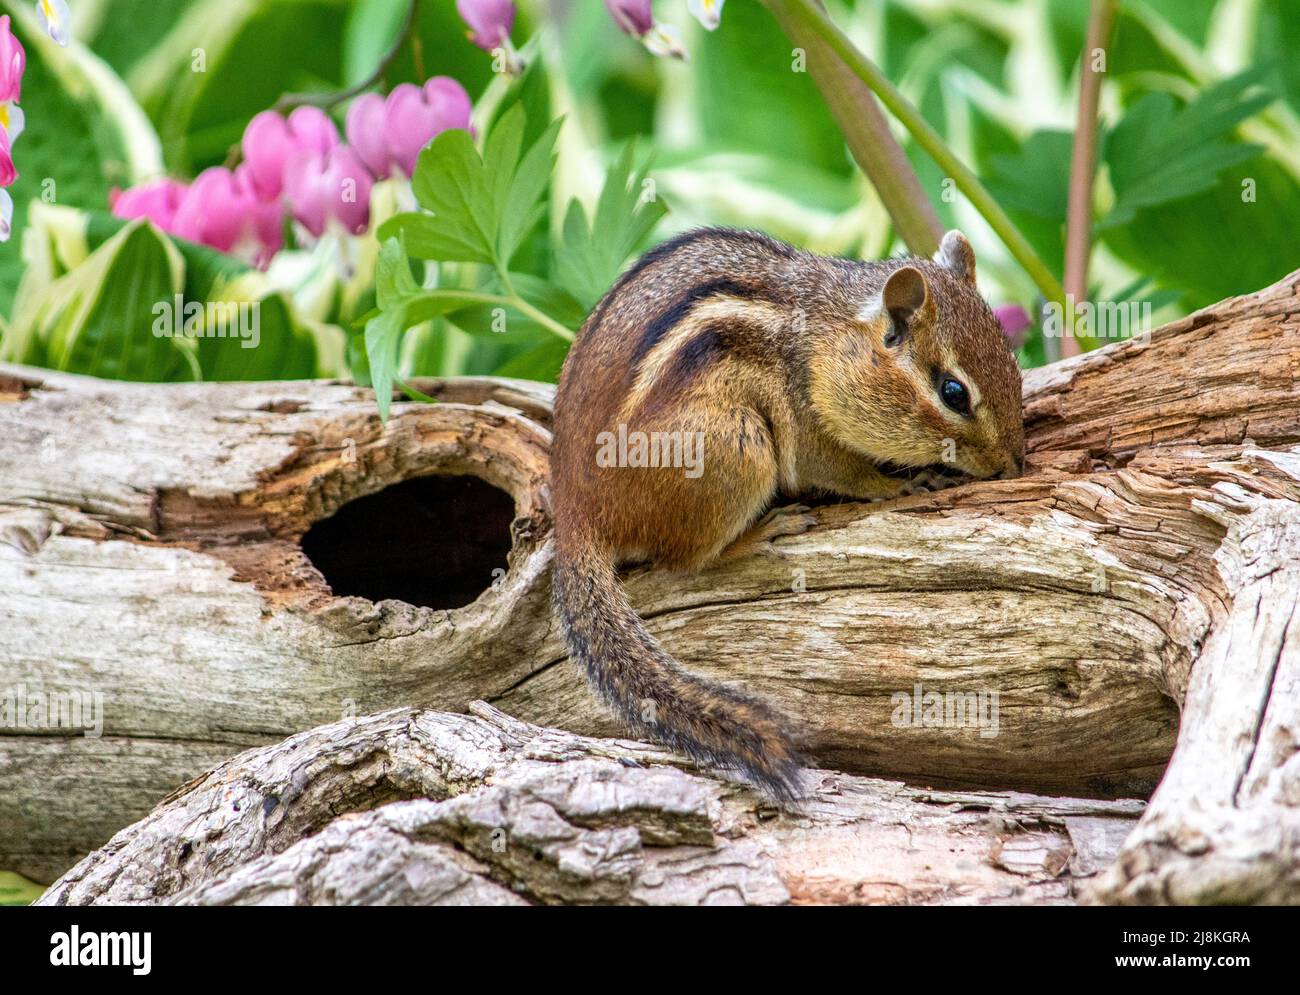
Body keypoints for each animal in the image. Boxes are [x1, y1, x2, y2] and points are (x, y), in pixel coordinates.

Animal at [549, 227, 1025, 801]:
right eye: (953, 393)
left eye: (1015, 363)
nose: (1014, 465)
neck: (827, 336)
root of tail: (575, 512)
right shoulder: (804, 417)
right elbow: (838, 472)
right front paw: (903, 482)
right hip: (735, 445)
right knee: (686, 560)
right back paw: (763, 533)